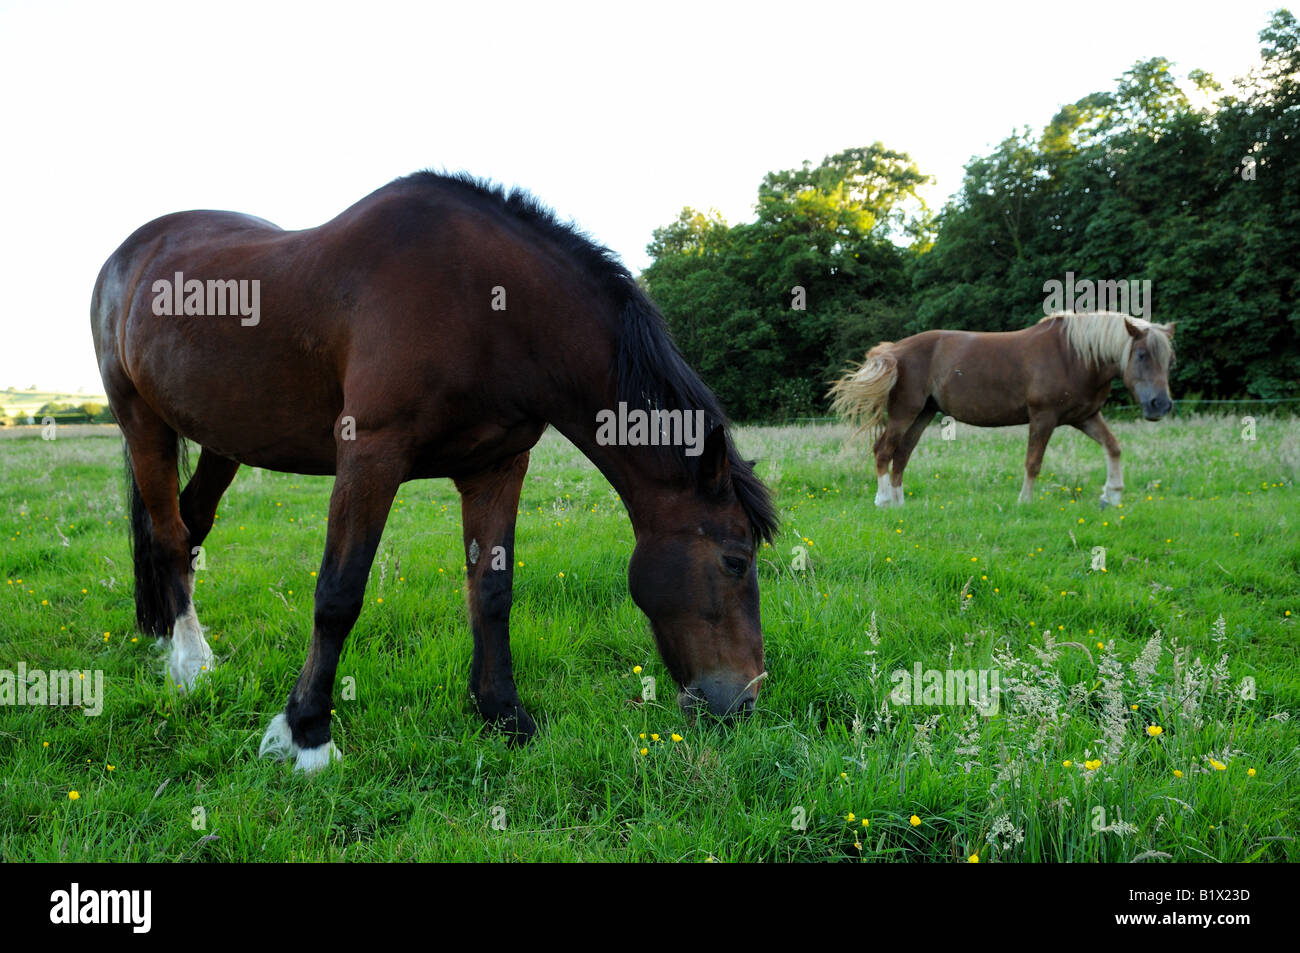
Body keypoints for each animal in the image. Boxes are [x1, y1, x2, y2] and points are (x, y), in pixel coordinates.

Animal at [90, 171, 778, 772]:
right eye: (735, 560)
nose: (745, 699)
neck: (486, 306)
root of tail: (128, 255)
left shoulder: (497, 467)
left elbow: (493, 592)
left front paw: (503, 715)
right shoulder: (371, 454)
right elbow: (338, 593)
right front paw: (307, 734)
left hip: (223, 439)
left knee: (189, 525)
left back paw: (166, 637)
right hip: (141, 422)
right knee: (171, 536)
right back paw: (190, 664)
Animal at [828, 311, 1175, 507]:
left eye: (1168, 360)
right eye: (1141, 354)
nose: (1161, 404)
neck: (1074, 355)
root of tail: (894, 350)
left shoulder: (1084, 417)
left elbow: (1113, 448)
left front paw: (1111, 496)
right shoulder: (1043, 417)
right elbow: (1033, 463)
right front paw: (1025, 503)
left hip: (922, 415)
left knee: (902, 455)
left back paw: (899, 505)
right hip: (905, 413)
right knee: (884, 451)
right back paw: (883, 500)